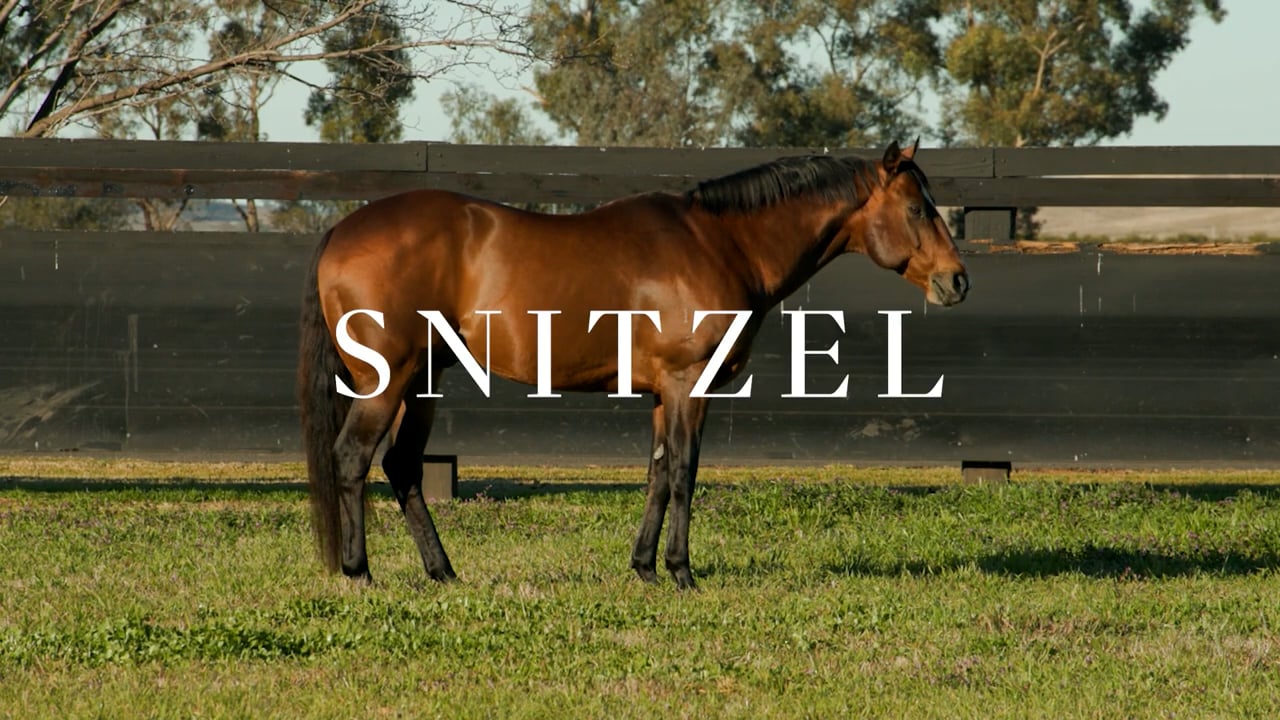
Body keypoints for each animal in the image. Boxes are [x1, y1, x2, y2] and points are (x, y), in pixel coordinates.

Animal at [296, 139, 969, 590]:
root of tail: (340, 231)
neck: (720, 243)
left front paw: (645, 568)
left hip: (425, 382)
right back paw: (359, 573)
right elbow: (685, 473)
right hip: (390, 383)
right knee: (352, 459)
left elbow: (657, 472)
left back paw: (443, 573)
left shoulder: (661, 395)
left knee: (402, 466)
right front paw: (682, 573)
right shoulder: (687, 384)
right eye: (917, 209)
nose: (957, 281)